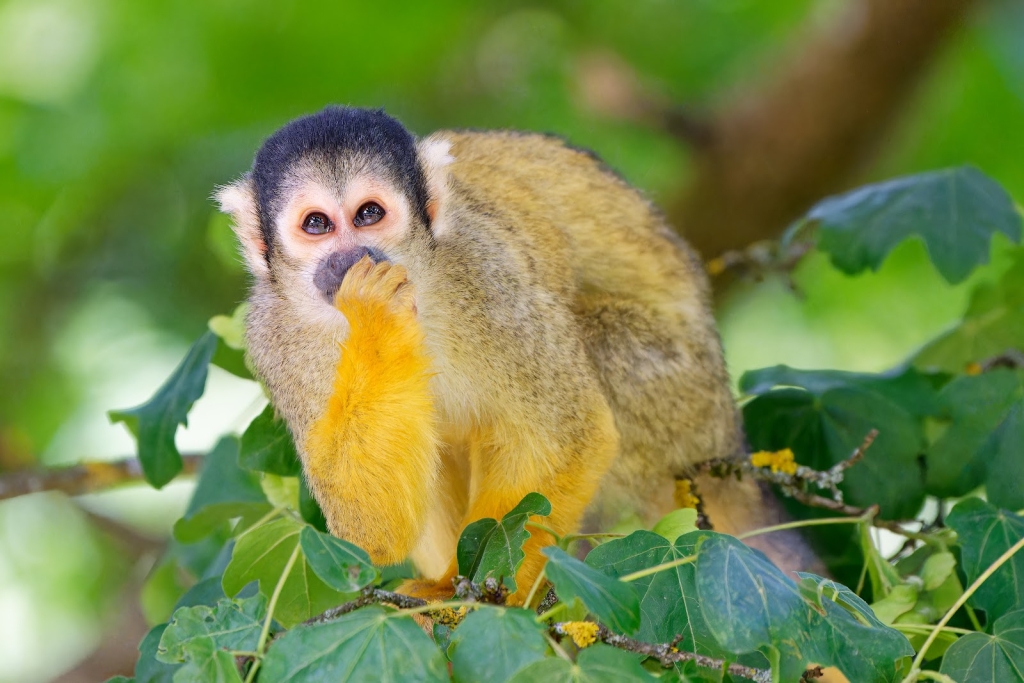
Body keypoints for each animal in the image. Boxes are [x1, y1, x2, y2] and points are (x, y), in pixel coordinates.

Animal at [216, 106, 817, 602]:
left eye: (368, 214)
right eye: (317, 224)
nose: (349, 259)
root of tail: (729, 438)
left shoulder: (485, 270)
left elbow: (567, 434)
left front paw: (484, 594)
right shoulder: (274, 339)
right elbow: (370, 529)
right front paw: (375, 320)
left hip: (685, 400)